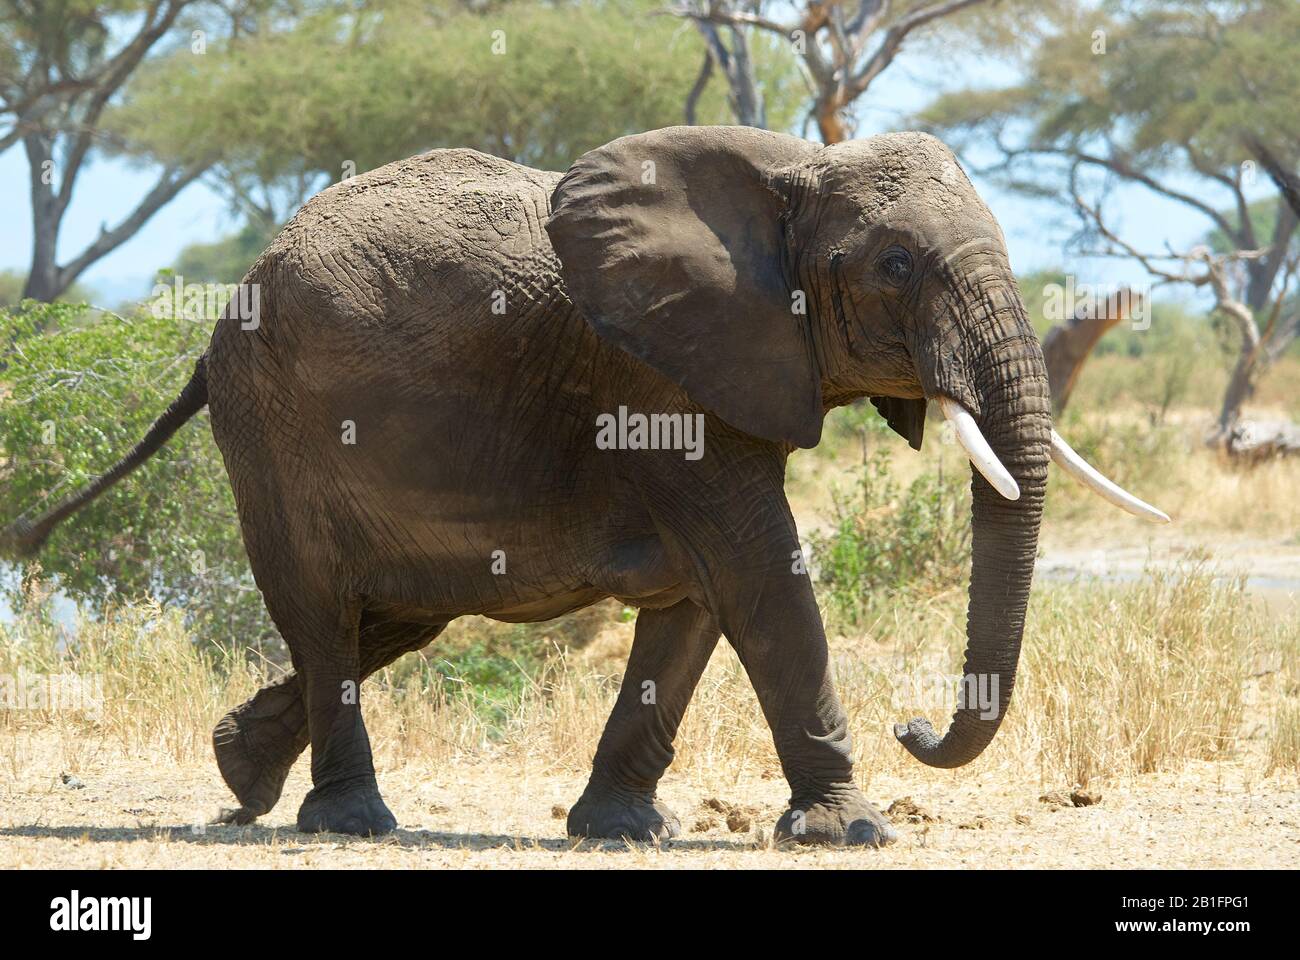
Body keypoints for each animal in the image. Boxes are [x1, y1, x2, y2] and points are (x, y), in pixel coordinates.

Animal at [3, 126, 1168, 845]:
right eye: (894, 269)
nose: (915, 729)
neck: (795, 167)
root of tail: (218, 323)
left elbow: (700, 600)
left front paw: (621, 830)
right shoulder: (661, 373)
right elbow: (759, 571)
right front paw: (851, 830)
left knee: (391, 616)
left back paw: (241, 776)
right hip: (275, 424)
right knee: (323, 609)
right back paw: (352, 822)